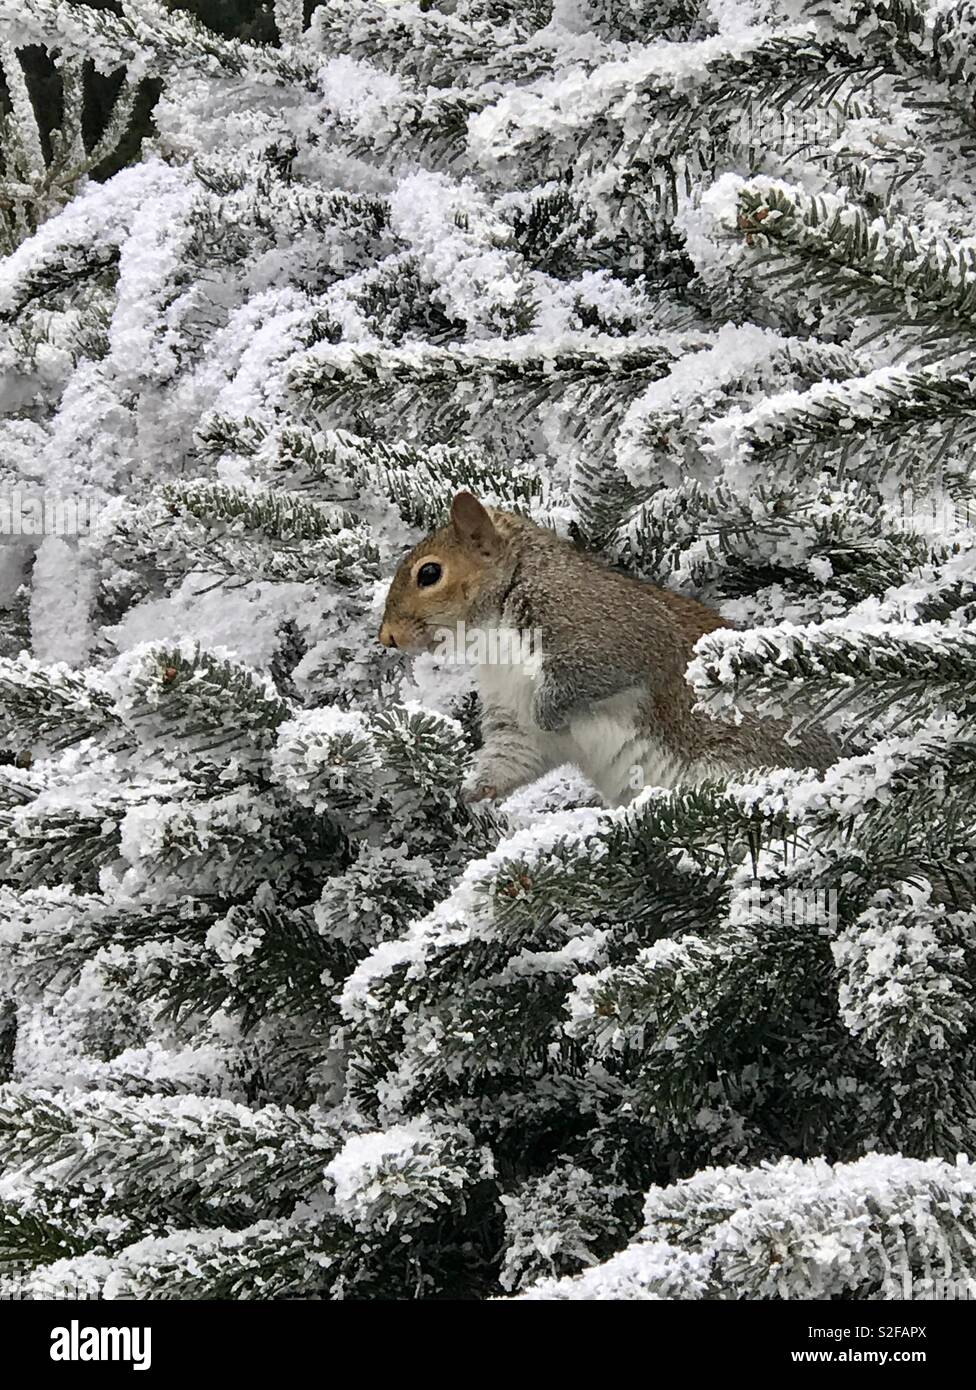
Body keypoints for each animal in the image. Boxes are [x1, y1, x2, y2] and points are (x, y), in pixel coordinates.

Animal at [379, 492, 836, 805]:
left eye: (429, 574)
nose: (386, 637)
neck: (491, 633)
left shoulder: (606, 627)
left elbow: (594, 673)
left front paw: (550, 711)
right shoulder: (514, 720)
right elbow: (511, 754)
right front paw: (469, 792)